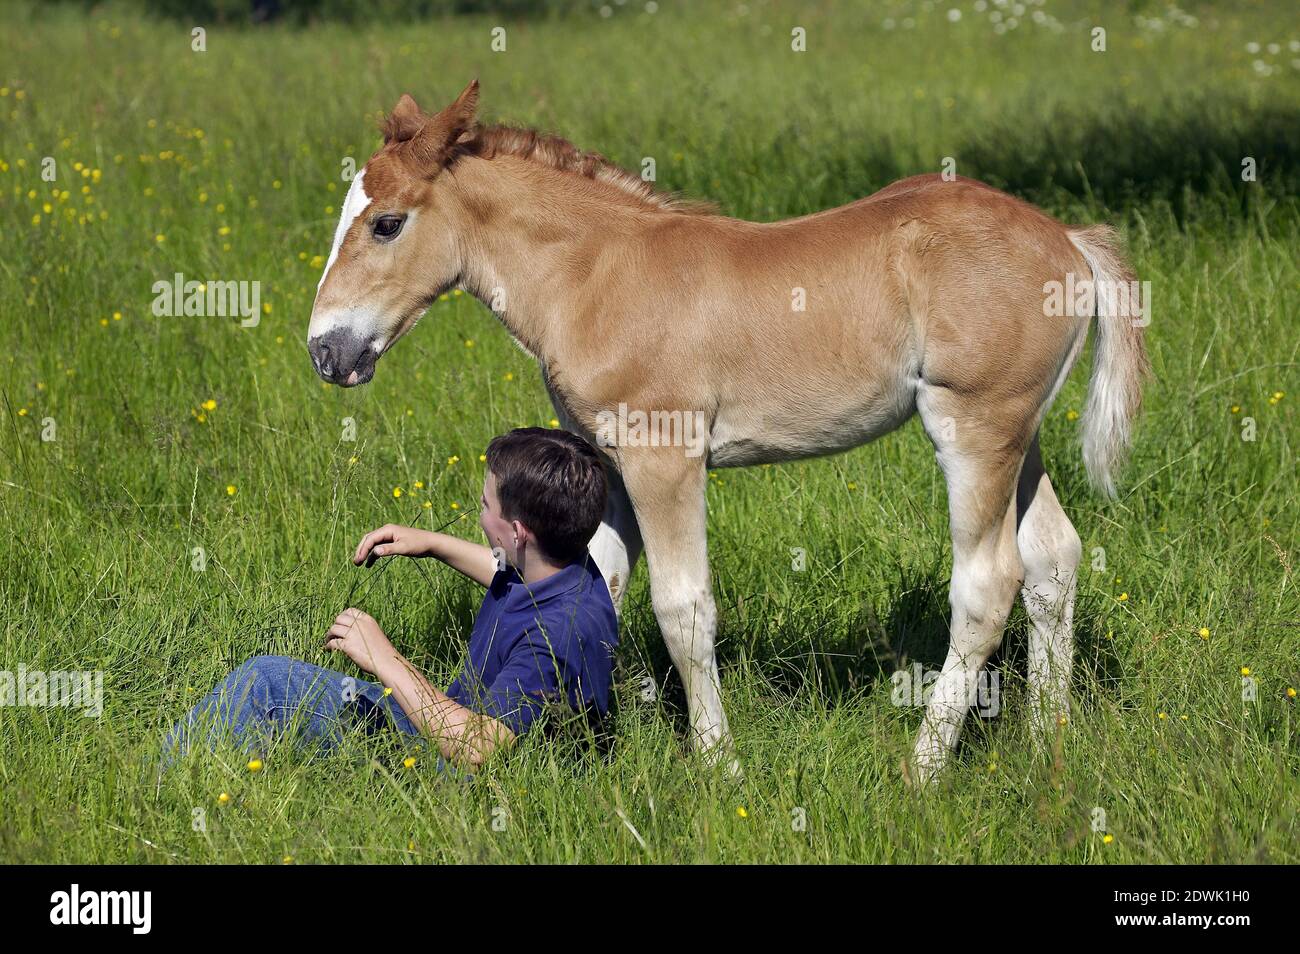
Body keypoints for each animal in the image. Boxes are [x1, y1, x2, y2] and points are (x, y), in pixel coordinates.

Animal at [306, 81, 1149, 782]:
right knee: (1053, 559)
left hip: (973, 428)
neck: (595, 274)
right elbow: (595, 588)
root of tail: (1069, 240)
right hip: (1019, 438)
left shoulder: (665, 457)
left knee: (988, 582)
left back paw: (924, 768)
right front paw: (589, 744)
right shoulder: (608, 464)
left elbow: (683, 610)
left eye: (386, 223)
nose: (326, 352)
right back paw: (1047, 743)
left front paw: (718, 764)